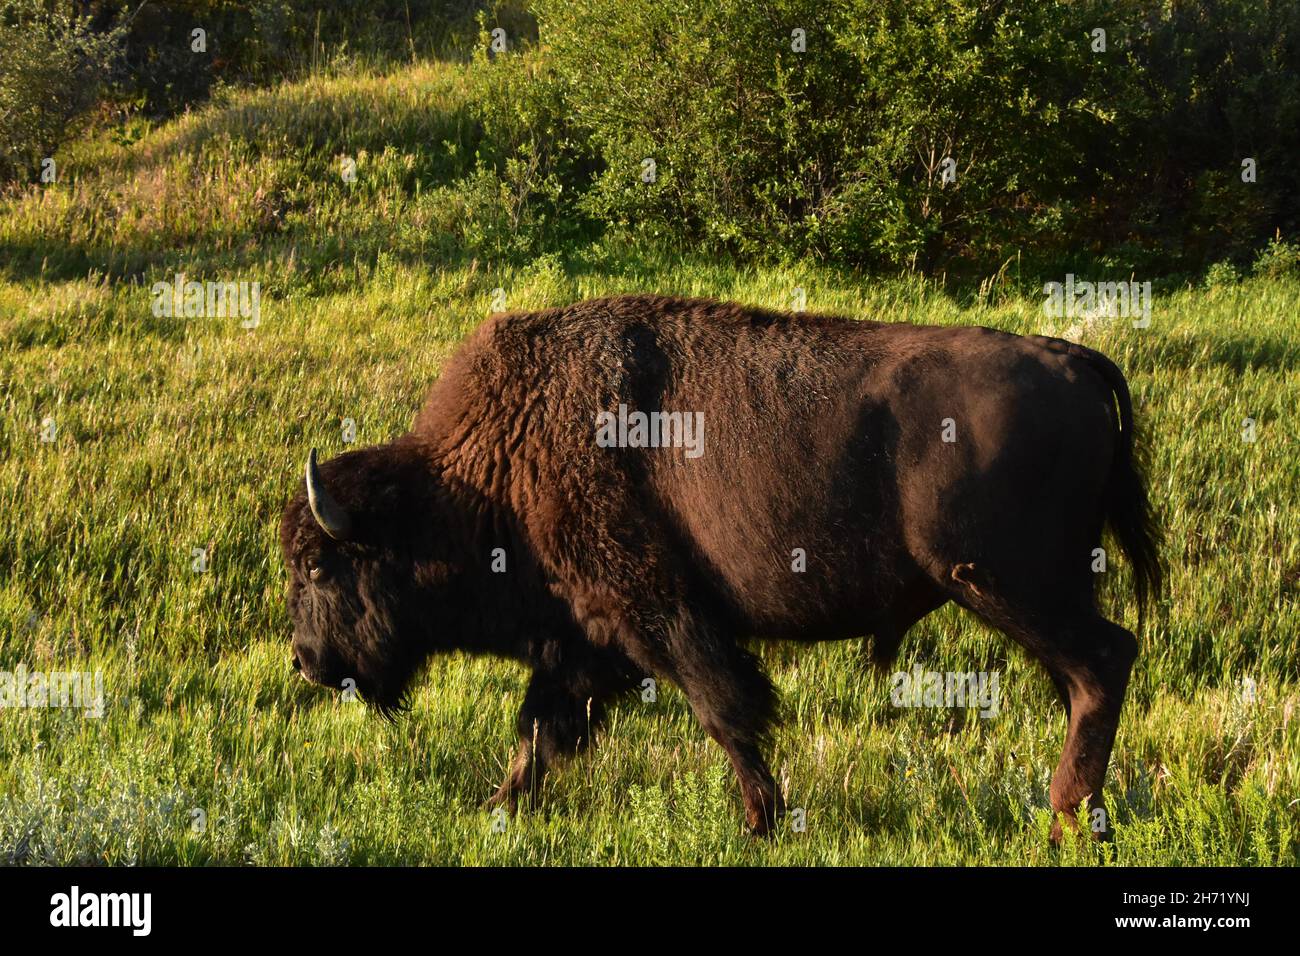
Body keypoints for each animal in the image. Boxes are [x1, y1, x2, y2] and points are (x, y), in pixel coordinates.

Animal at [280, 294, 1161, 837]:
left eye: (319, 570)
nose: (307, 662)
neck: (485, 469)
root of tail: (1072, 358)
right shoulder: (585, 639)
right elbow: (540, 734)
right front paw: (496, 809)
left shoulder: (658, 613)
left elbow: (724, 712)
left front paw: (760, 823)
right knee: (1086, 677)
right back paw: (1074, 812)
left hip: (1009, 583)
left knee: (1103, 662)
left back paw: (1066, 818)